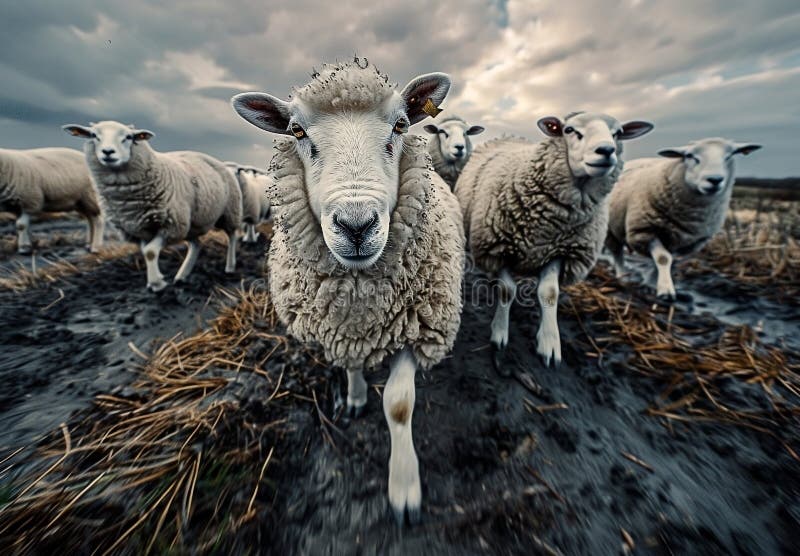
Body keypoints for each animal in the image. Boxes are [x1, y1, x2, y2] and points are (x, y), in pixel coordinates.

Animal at [62, 121, 242, 291]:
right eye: (94, 135)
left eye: (128, 137)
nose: (108, 152)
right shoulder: (140, 228)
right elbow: (145, 252)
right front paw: (155, 281)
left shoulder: (169, 225)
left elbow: (150, 252)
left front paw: (157, 284)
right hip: (191, 223)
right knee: (196, 245)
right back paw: (182, 276)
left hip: (228, 211)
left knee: (232, 235)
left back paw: (230, 266)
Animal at [231, 58, 463, 525]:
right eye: (297, 132)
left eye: (400, 125)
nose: (356, 225)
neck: (359, 299)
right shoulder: (338, 328)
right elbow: (352, 363)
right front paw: (355, 399)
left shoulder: (418, 328)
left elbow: (398, 405)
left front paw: (404, 489)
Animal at [456, 112, 653, 373]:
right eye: (569, 130)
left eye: (618, 133)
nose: (606, 150)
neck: (547, 224)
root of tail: (510, 136)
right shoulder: (500, 247)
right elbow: (507, 291)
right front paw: (499, 333)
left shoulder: (560, 250)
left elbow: (549, 292)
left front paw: (549, 343)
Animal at [606, 137, 762, 300]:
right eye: (690, 156)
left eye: (729, 156)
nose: (714, 179)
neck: (689, 214)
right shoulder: (645, 231)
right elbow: (663, 258)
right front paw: (666, 291)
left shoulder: (686, 242)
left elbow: (668, 260)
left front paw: (650, 283)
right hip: (610, 229)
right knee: (617, 252)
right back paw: (622, 276)